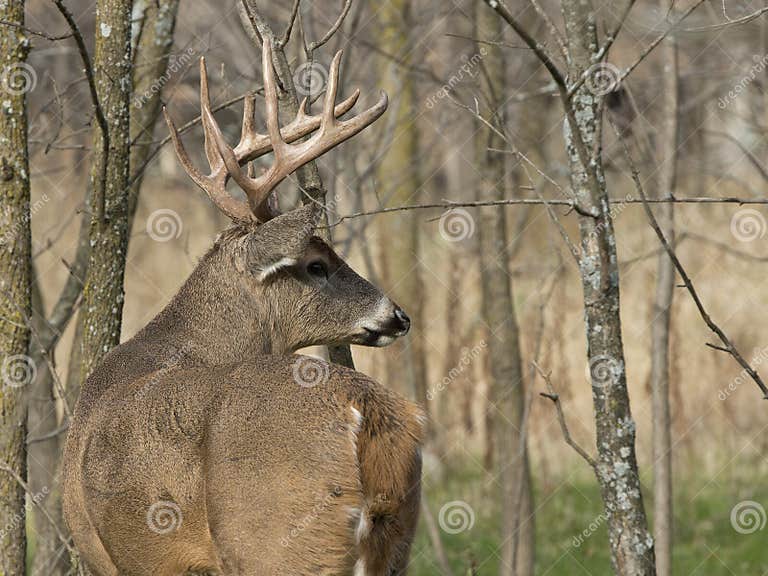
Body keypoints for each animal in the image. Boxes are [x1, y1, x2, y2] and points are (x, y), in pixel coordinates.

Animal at [62, 43, 424, 576]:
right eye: (317, 264)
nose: (398, 315)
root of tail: (364, 412)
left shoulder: (106, 557)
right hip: (393, 539)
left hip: (278, 543)